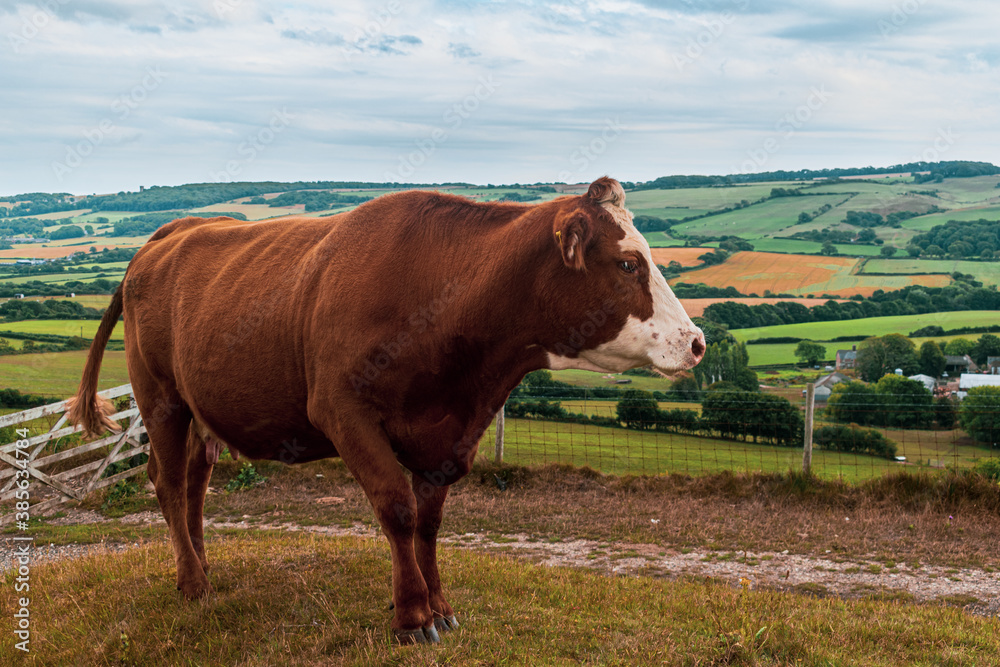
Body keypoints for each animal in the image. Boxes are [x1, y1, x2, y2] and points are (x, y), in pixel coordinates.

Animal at [67, 177, 705, 644]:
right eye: (628, 264)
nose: (696, 341)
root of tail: (171, 232)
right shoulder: (343, 411)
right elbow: (397, 510)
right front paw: (412, 617)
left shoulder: (449, 435)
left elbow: (429, 521)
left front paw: (441, 606)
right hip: (160, 397)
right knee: (170, 483)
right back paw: (194, 584)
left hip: (203, 407)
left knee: (196, 481)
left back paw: (197, 569)